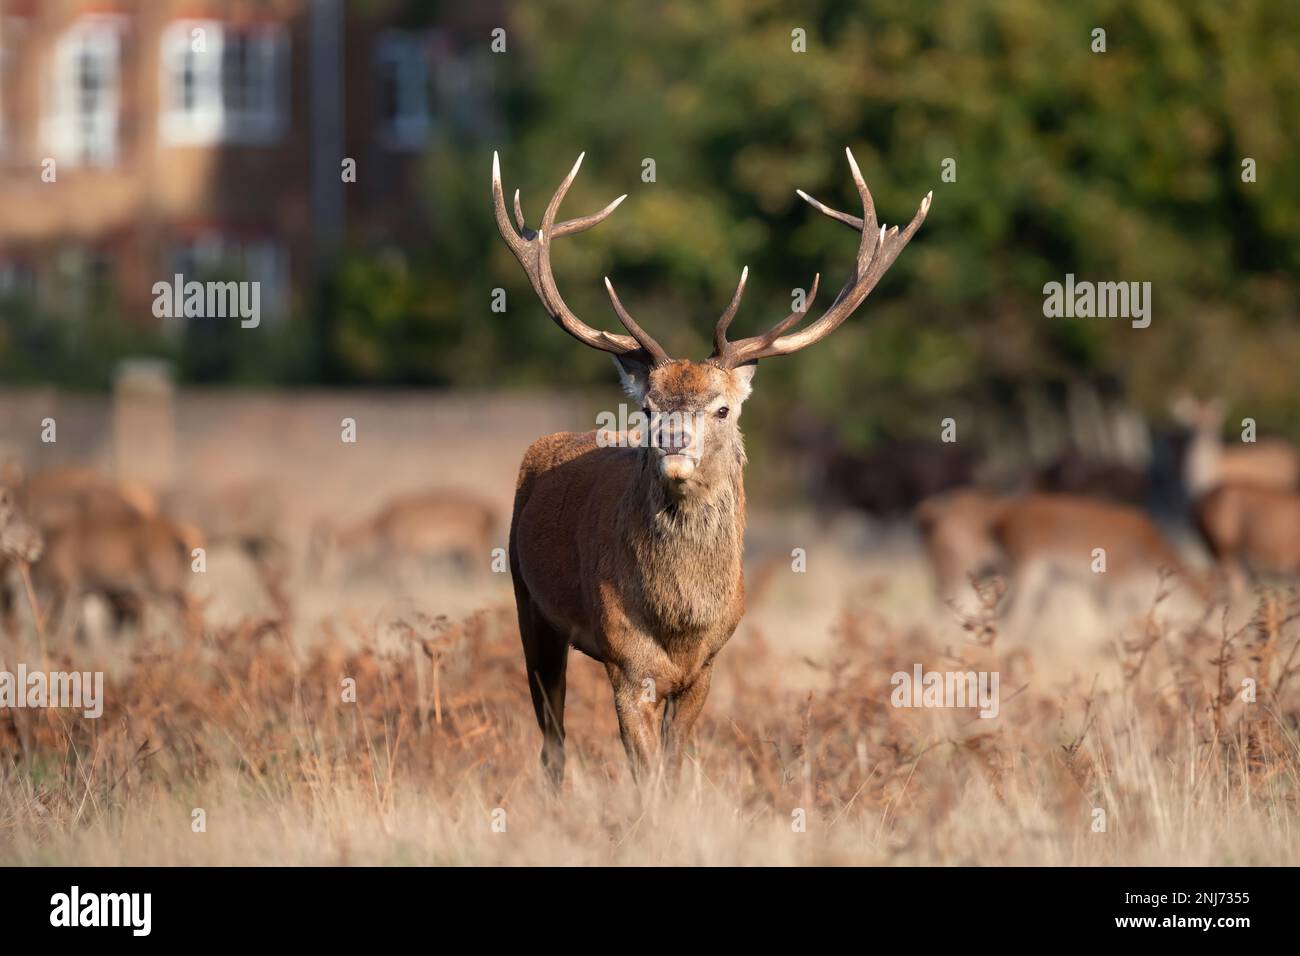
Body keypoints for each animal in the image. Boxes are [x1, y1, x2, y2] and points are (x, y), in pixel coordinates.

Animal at [494, 148, 931, 785]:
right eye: (648, 408)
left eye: (721, 407)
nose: (674, 443)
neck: (681, 623)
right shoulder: (627, 665)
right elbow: (646, 779)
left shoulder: (707, 666)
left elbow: (675, 772)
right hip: (530, 606)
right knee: (552, 743)